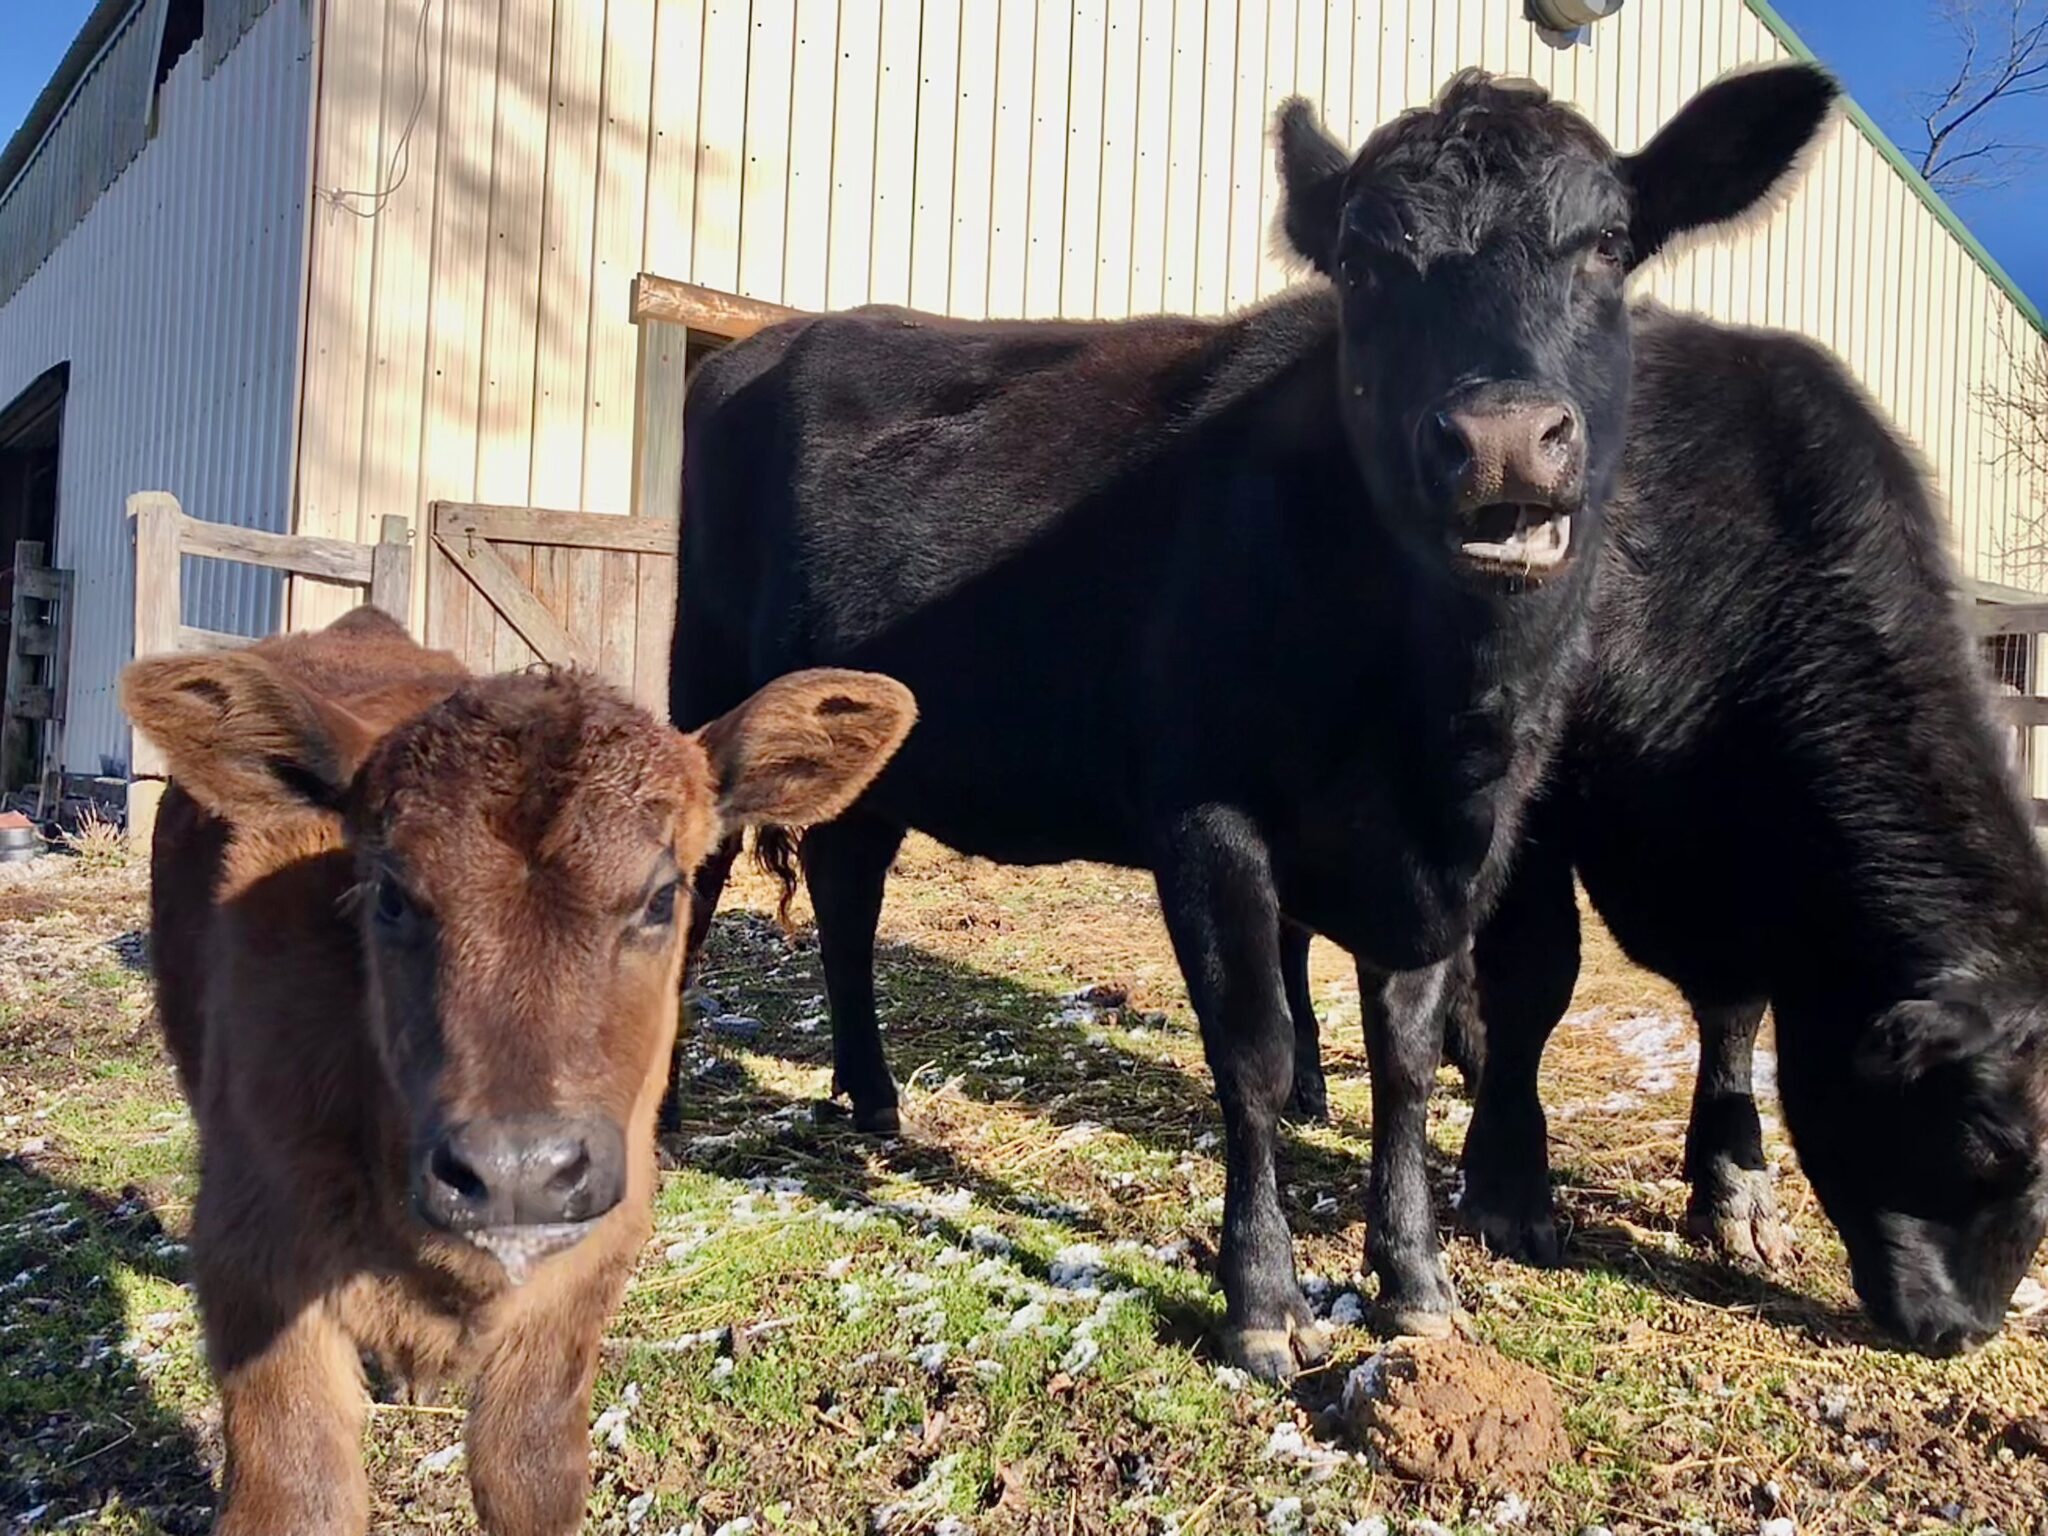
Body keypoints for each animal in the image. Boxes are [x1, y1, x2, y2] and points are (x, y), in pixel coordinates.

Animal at [124, 606, 913, 1536]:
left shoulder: (584, 1264)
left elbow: (527, 1474)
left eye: (662, 895)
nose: (517, 1172)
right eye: (390, 892)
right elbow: (298, 1494)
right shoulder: (253, 1255)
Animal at [668, 65, 1839, 1379]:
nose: (1499, 439)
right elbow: (1256, 1052)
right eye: (1366, 264)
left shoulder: (1446, 854)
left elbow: (1406, 1059)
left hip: (874, 747)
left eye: (1604, 245)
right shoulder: (1206, 814)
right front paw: (1263, 1299)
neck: (1430, 720)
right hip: (707, 690)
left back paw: (870, 1097)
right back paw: (663, 1118)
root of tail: (770, 340)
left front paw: (1413, 1280)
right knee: (696, 887)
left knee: (850, 895)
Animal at [1287, 314, 2048, 1355]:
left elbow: (1736, 1015)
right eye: (1981, 1138)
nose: (1968, 1330)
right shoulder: (1534, 803)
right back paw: (1310, 1083)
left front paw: (1737, 1189)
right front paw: (1511, 1184)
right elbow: (1539, 976)